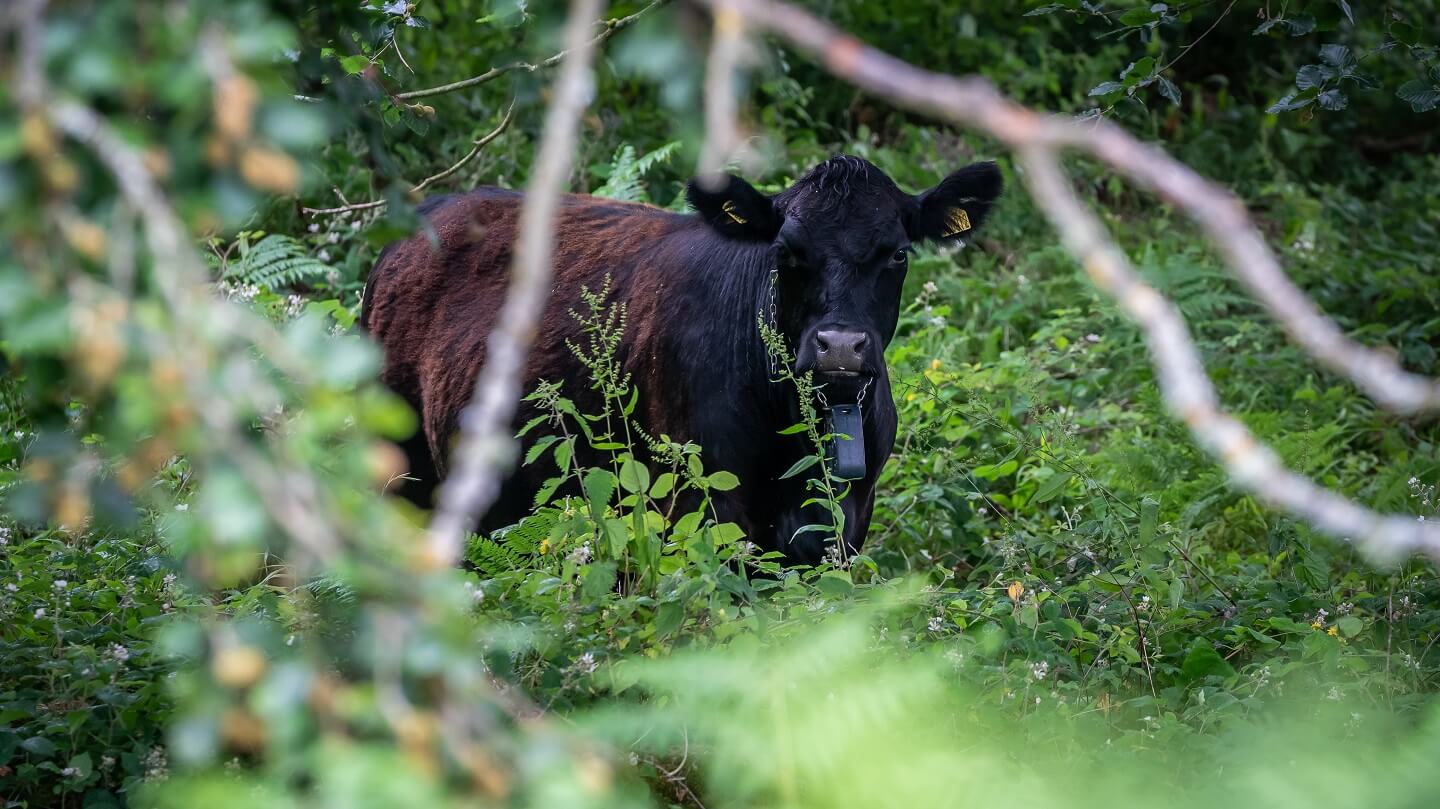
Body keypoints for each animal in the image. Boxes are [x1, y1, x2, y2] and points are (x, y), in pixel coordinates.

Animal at [361, 155, 1002, 565]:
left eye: (898, 253)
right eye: (787, 251)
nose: (840, 345)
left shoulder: (846, 517)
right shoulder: (700, 503)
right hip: (400, 468)